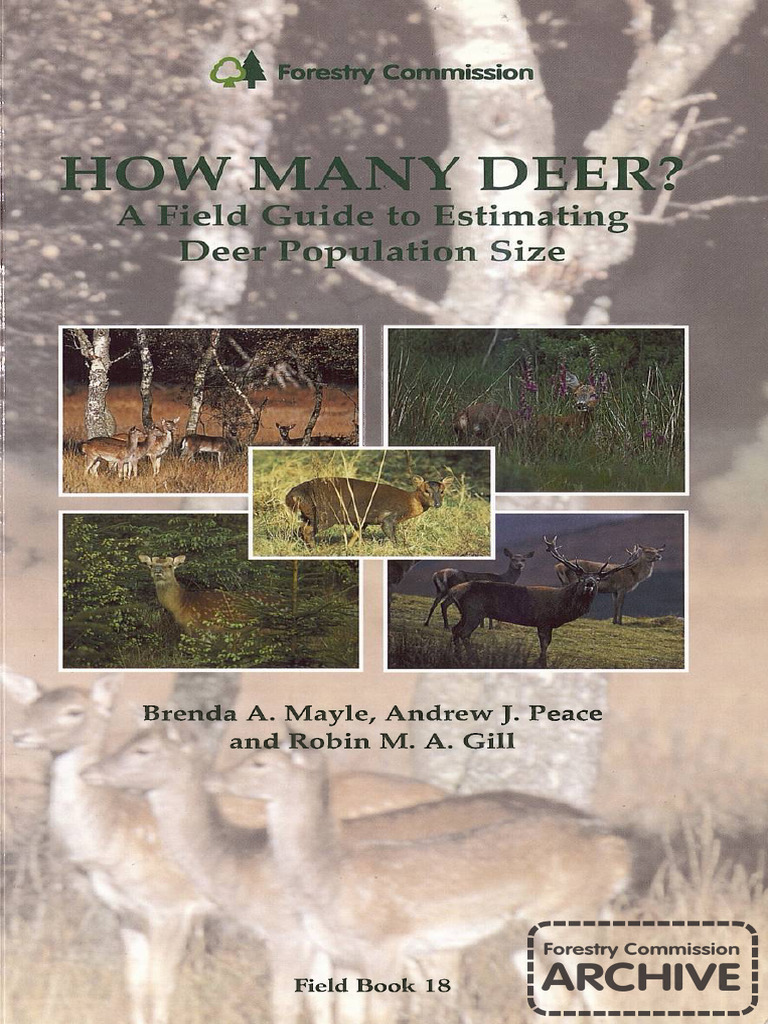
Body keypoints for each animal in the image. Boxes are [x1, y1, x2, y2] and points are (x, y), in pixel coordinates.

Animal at [285, 474, 452, 547]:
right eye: (426, 491)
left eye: (442, 491)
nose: (437, 504)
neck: (410, 502)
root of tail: (292, 495)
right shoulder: (388, 517)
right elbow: (392, 537)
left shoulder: (362, 520)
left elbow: (356, 534)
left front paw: (348, 548)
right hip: (325, 515)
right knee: (307, 531)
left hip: (308, 514)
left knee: (300, 529)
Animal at [448, 536, 640, 667]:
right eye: (580, 577)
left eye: (598, 579)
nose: (590, 583)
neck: (561, 607)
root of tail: (455, 590)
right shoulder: (543, 621)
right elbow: (544, 644)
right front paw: (542, 663)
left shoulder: (549, 624)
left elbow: (547, 644)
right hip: (474, 611)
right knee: (464, 633)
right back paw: (473, 658)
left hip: (466, 612)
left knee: (455, 629)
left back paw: (457, 657)